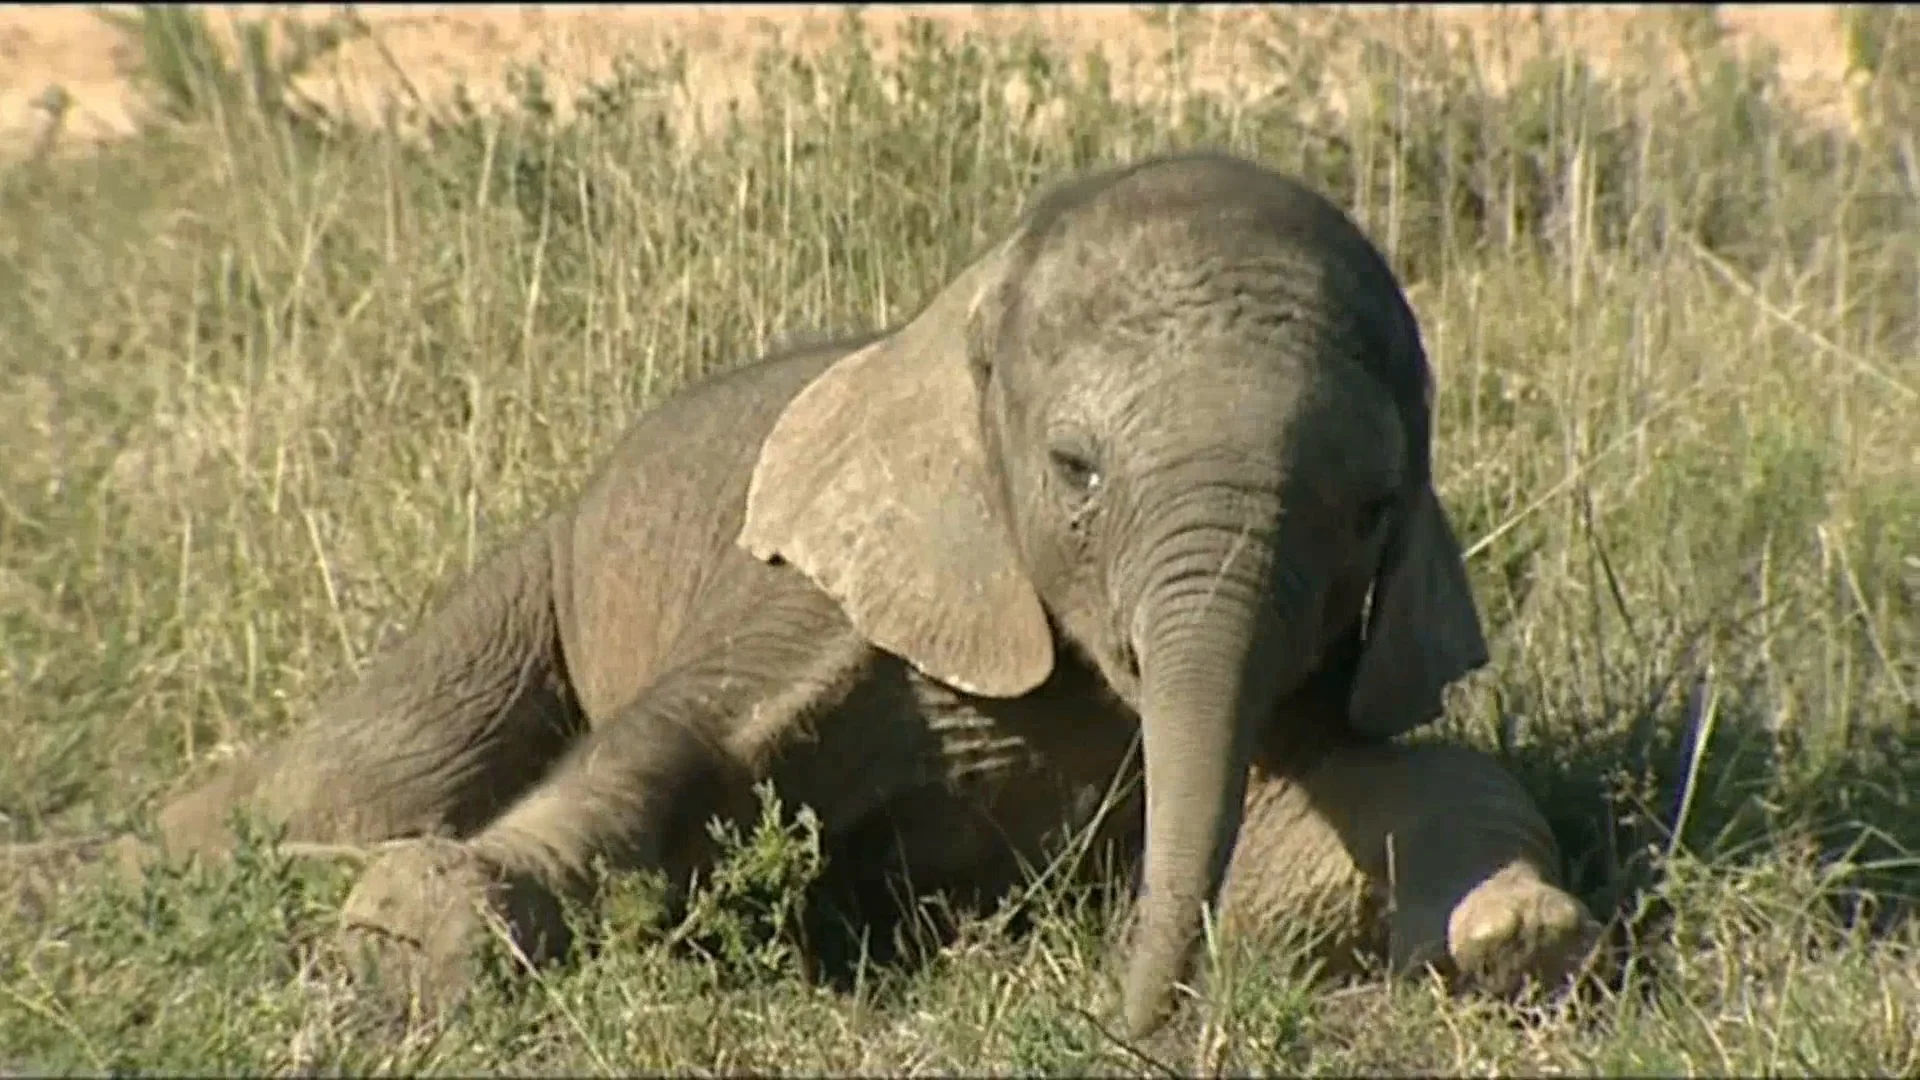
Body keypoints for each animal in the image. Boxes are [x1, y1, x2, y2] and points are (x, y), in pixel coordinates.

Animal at [78, 150, 1575, 1038]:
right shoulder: (834, 584)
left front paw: (1521, 933)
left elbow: (1346, 813)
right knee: (357, 772)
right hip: (536, 572)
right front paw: (407, 943)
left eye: (1374, 512)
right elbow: (663, 757)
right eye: (1073, 468)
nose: (1120, 1023)